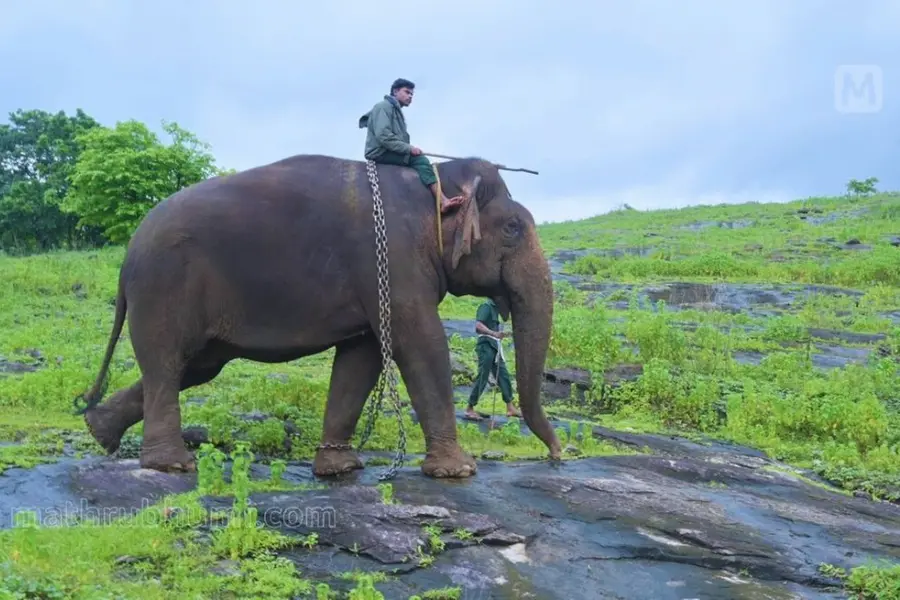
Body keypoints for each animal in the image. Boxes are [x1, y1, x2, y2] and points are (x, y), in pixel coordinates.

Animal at [75, 153, 562, 478]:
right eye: (513, 229)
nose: (557, 455)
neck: (435, 183)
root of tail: (127, 256)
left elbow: (362, 356)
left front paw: (340, 468)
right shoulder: (394, 259)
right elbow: (421, 342)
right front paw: (458, 471)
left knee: (194, 366)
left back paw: (99, 431)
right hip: (165, 286)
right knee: (167, 361)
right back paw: (171, 464)